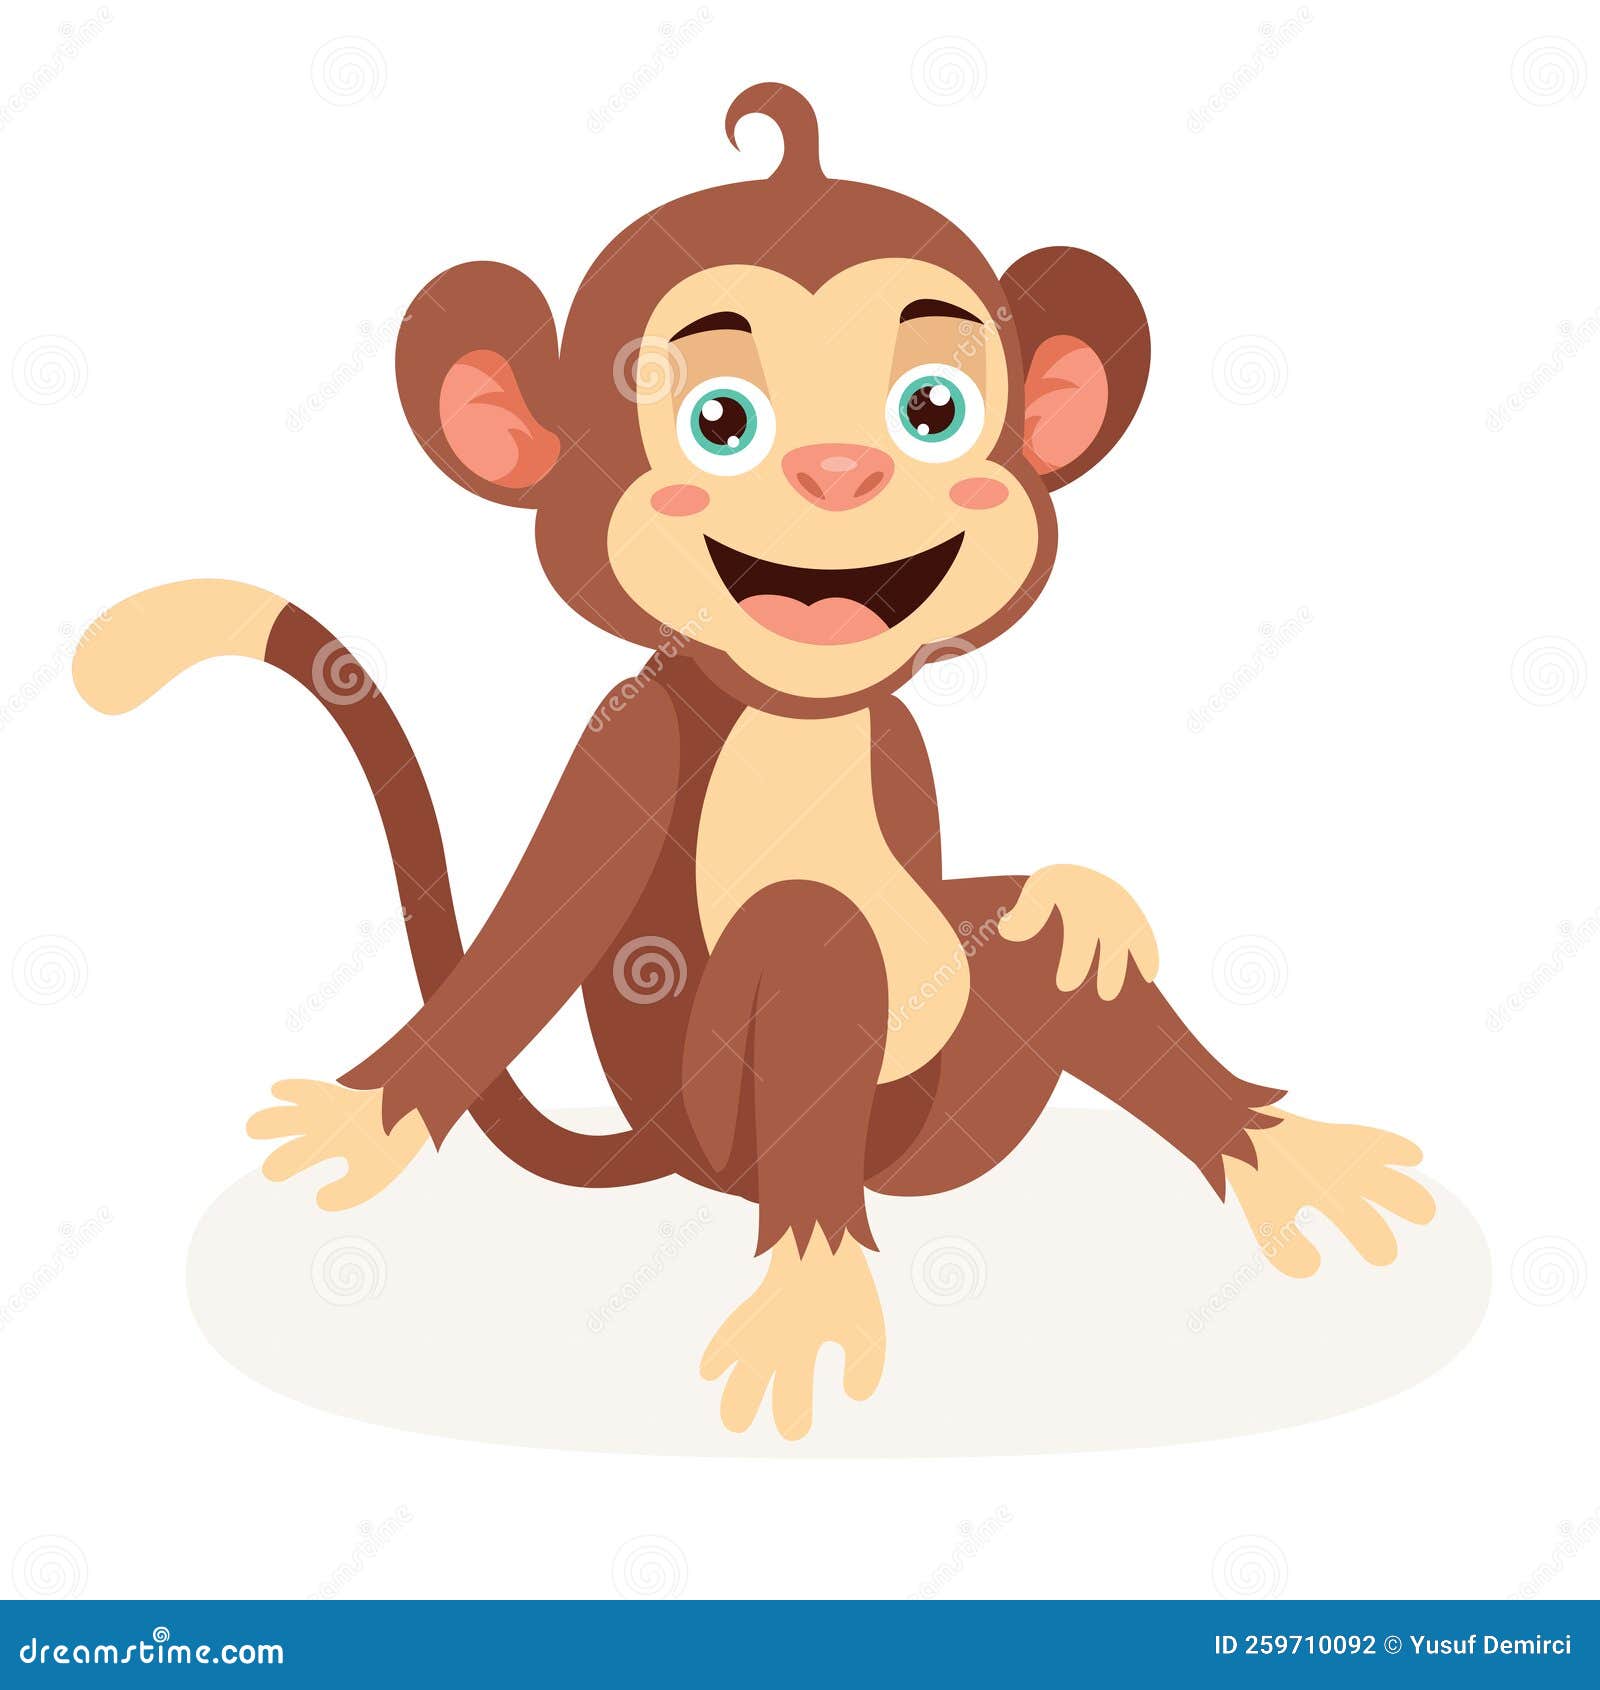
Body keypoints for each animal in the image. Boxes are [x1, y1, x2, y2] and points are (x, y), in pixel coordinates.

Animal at [74, 84, 1436, 1441]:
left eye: (931, 408)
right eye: (719, 421)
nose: (840, 473)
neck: (788, 711)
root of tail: (669, 1155)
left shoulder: (898, 740)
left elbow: (972, 892)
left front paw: (1085, 895)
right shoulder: (628, 739)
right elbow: (537, 940)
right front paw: (374, 1112)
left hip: (943, 1117)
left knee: (1034, 955)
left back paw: (1264, 1142)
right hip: (741, 1133)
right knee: (809, 935)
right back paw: (814, 1267)